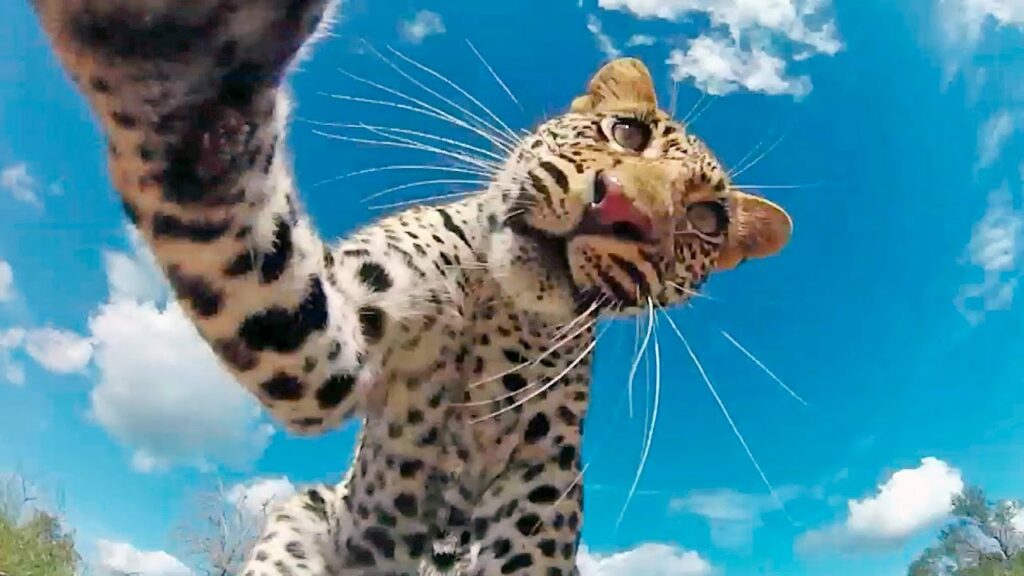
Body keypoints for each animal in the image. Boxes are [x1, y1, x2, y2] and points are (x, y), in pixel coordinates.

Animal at [30, 0, 793, 574]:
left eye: (705, 220)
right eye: (627, 132)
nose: (623, 210)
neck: (507, 317)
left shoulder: (541, 483)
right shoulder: (338, 345)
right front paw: (179, 57)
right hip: (307, 511)